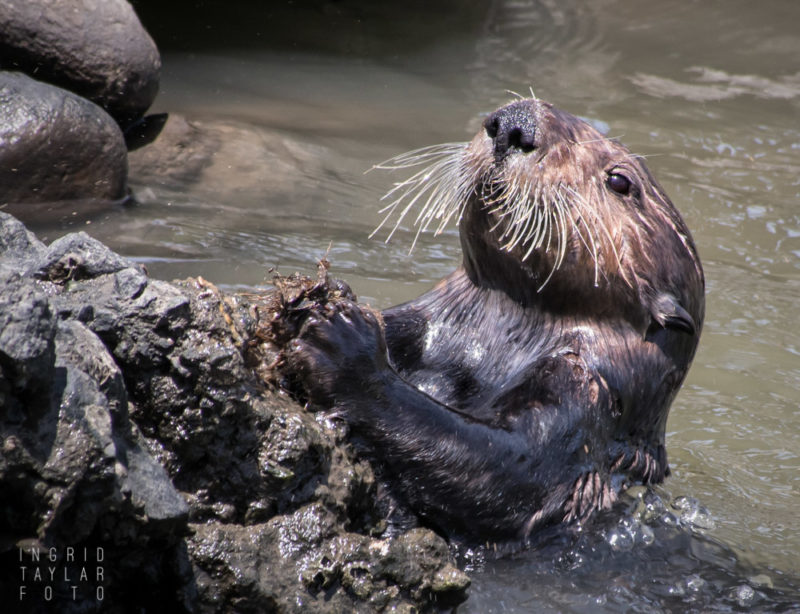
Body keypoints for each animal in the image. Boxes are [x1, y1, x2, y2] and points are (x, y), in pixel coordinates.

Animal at [287, 98, 704, 545]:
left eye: (620, 181)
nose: (512, 125)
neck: (495, 347)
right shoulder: (423, 321)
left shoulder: (587, 396)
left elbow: (508, 474)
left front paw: (345, 345)